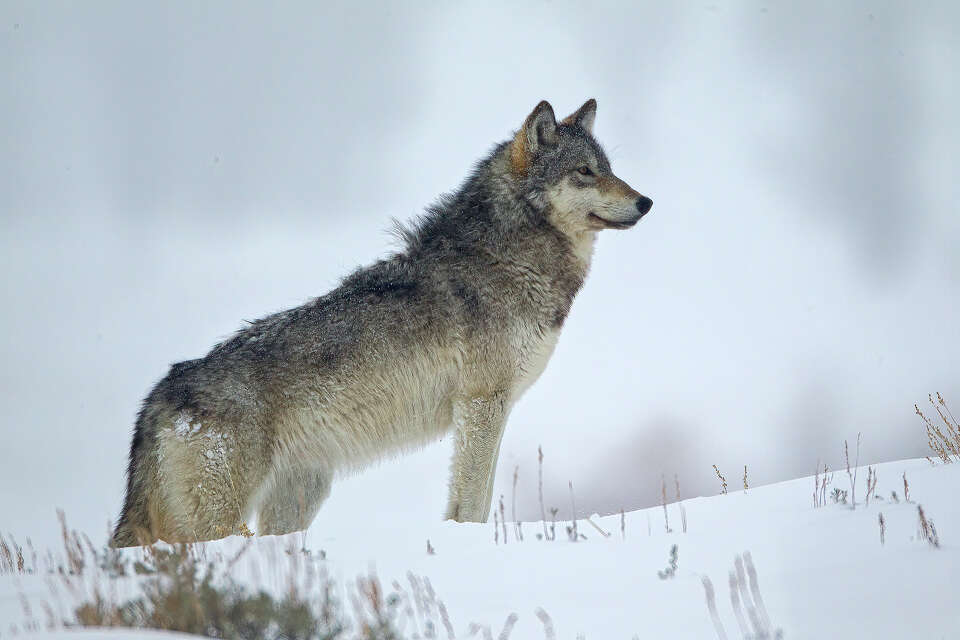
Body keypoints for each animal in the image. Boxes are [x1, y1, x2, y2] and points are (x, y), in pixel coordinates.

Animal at [111, 99, 653, 547]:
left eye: (609, 169)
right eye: (585, 172)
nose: (646, 202)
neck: (508, 259)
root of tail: (159, 394)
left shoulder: (493, 408)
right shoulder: (482, 404)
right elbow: (471, 503)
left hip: (298, 498)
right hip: (222, 519)